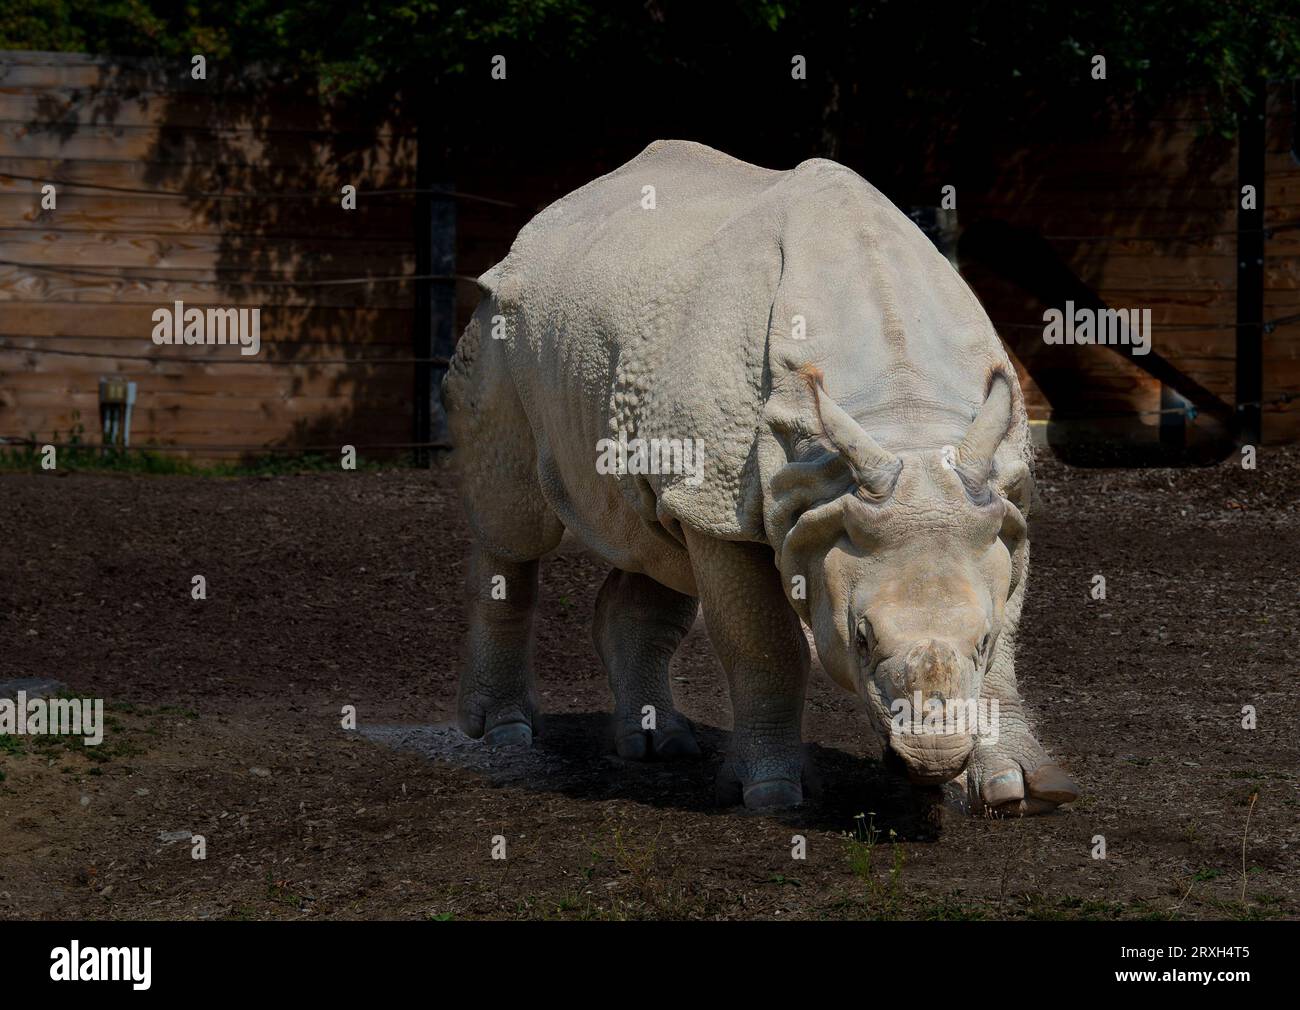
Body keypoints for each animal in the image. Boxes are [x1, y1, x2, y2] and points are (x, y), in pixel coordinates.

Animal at [443, 139, 1078, 814]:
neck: (904, 421)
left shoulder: (998, 501)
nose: (930, 761)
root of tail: (539, 225)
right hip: (500, 325)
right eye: (860, 638)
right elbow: (763, 641)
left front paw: (1015, 785)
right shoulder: (727, 503)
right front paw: (773, 792)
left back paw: (660, 746)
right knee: (517, 527)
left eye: (978, 642)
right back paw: (504, 733)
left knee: (657, 535)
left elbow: (1007, 638)